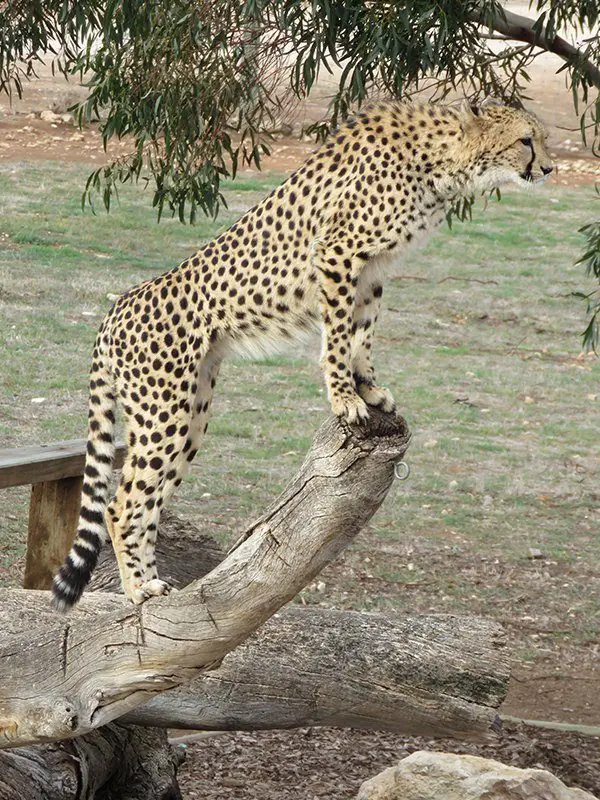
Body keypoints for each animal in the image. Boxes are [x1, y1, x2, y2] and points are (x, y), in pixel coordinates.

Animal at [51, 99, 553, 610]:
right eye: (526, 140)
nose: (549, 168)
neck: (440, 158)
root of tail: (115, 307)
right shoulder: (337, 253)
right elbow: (339, 334)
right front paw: (344, 397)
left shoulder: (371, 268)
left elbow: (363, 332)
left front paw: (369, 389)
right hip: (164, 414)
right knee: (120, 504)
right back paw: (138, 589)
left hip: (191, 414)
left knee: (146, 501)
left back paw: (154, 586)